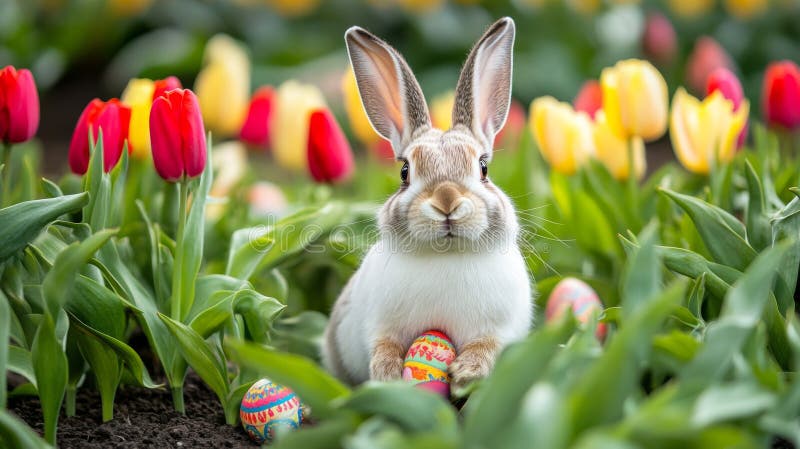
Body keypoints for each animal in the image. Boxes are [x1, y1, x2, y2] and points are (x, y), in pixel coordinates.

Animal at [322, 17, 533, 390]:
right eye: (405, 171)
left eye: (483, 168)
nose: (447, 201)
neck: (446, 255)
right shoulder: (380, 326)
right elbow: (384, 345)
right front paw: (389, 376)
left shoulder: (499, 329)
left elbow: (487, 346)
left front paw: (466, 373)